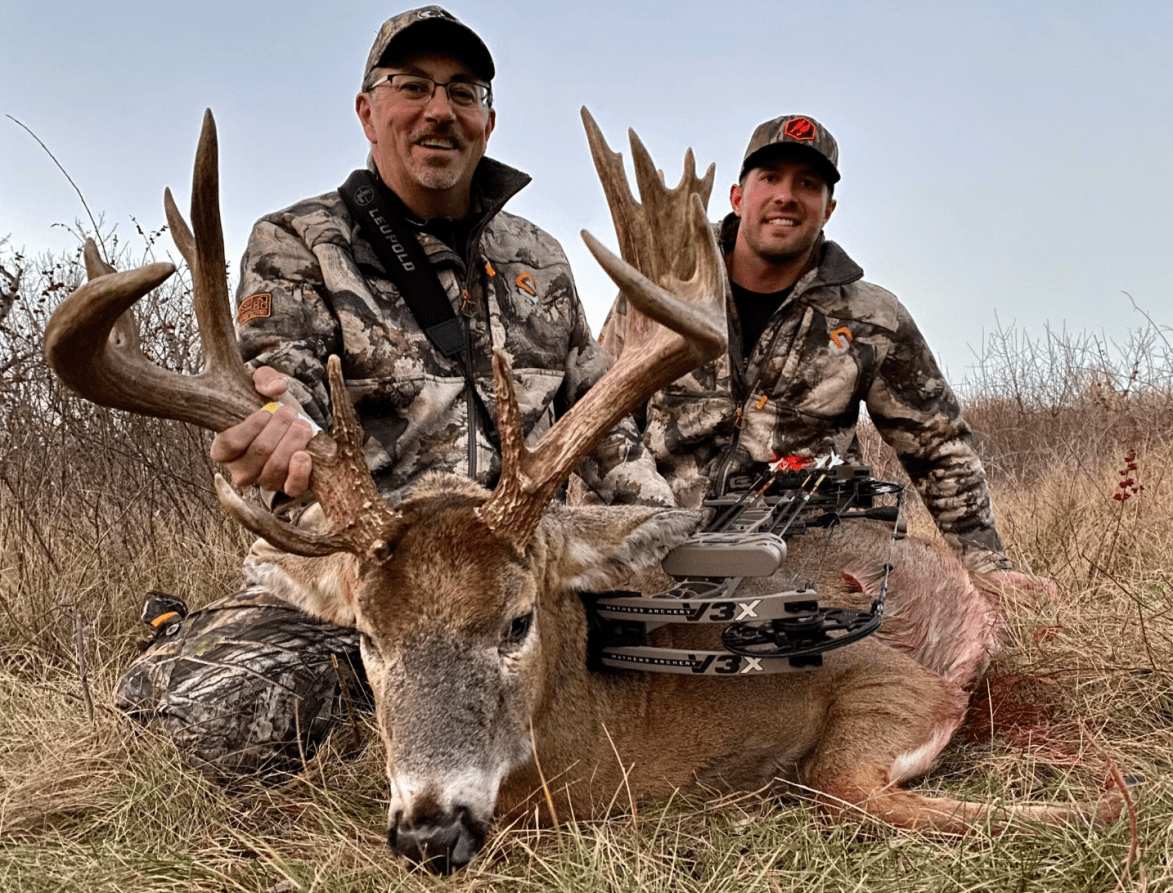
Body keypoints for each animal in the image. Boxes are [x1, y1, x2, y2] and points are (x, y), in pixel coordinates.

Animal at [44, 109, 1121, 874]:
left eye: (517, 618)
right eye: (366, 638)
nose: (429, 829)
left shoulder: (883, 678)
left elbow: (850, 777)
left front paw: (1088, 801)